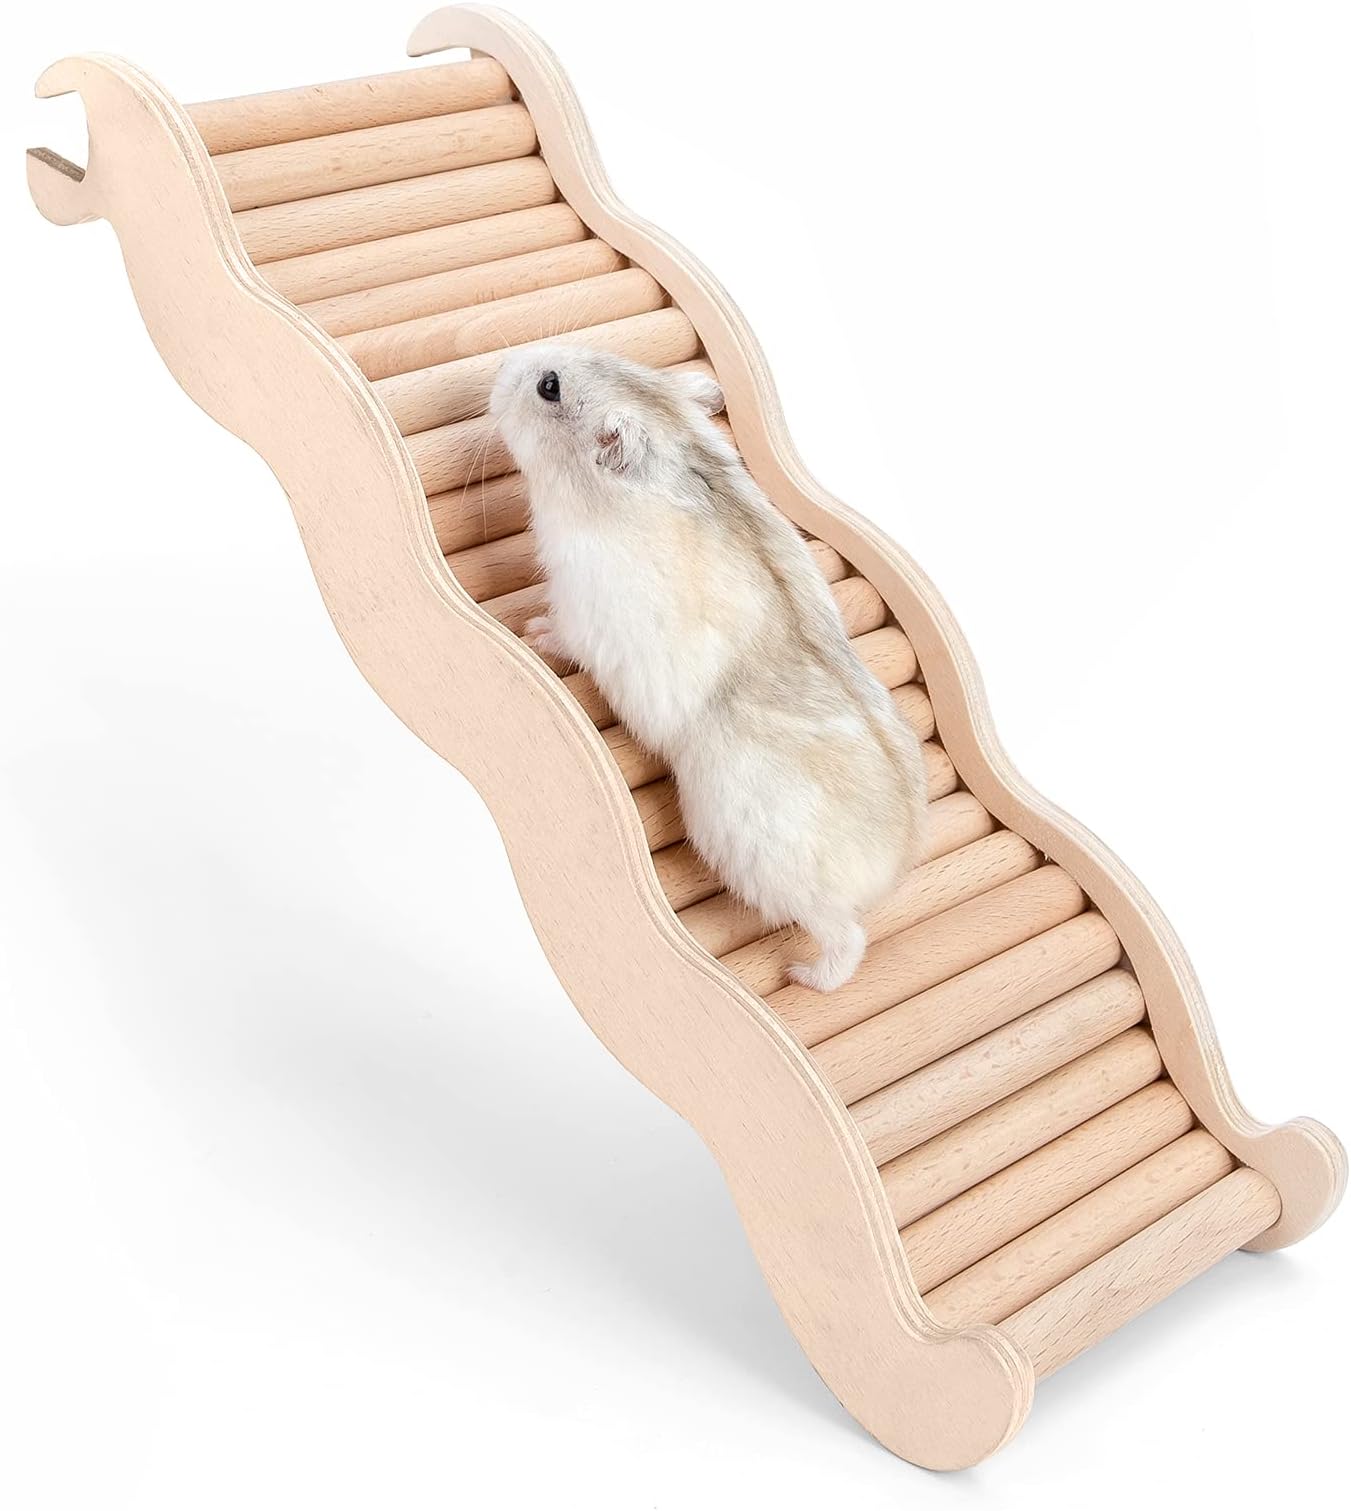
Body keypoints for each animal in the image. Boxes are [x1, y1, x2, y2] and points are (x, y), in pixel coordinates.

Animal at [488, 343, 928, 991]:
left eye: (549, 387)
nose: (500, 365)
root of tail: (896, 863)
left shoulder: (578, 604)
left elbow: (561, 634)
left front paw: (529, 631)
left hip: (765, 861)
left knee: (846, 939)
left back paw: (803, 975)